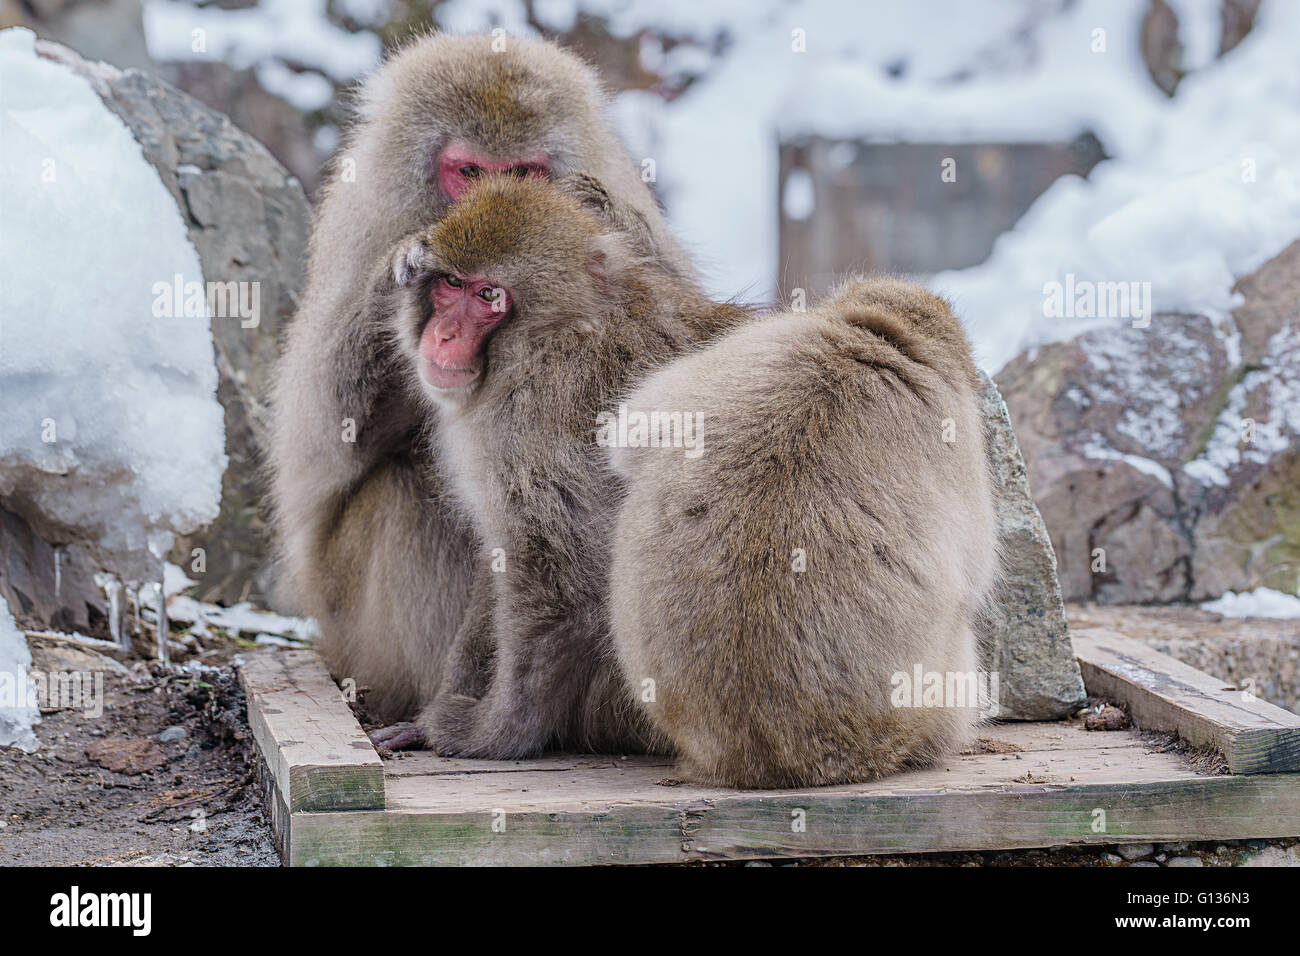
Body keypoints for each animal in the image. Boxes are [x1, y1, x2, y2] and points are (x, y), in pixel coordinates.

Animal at [268, 33, 696, 724]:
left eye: (520, 172)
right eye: (468, 173)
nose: (489, 212)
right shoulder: (361, 232)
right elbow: (320, 443)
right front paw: (404, 265)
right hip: (346, 616)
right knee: (400, 488)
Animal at [373, 175, 747, 757]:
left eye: (489, 295)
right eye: (451, 283)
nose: (444, 336)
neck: (555, 335)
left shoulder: (532, 426)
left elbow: (561, 579)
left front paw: (491, 732)